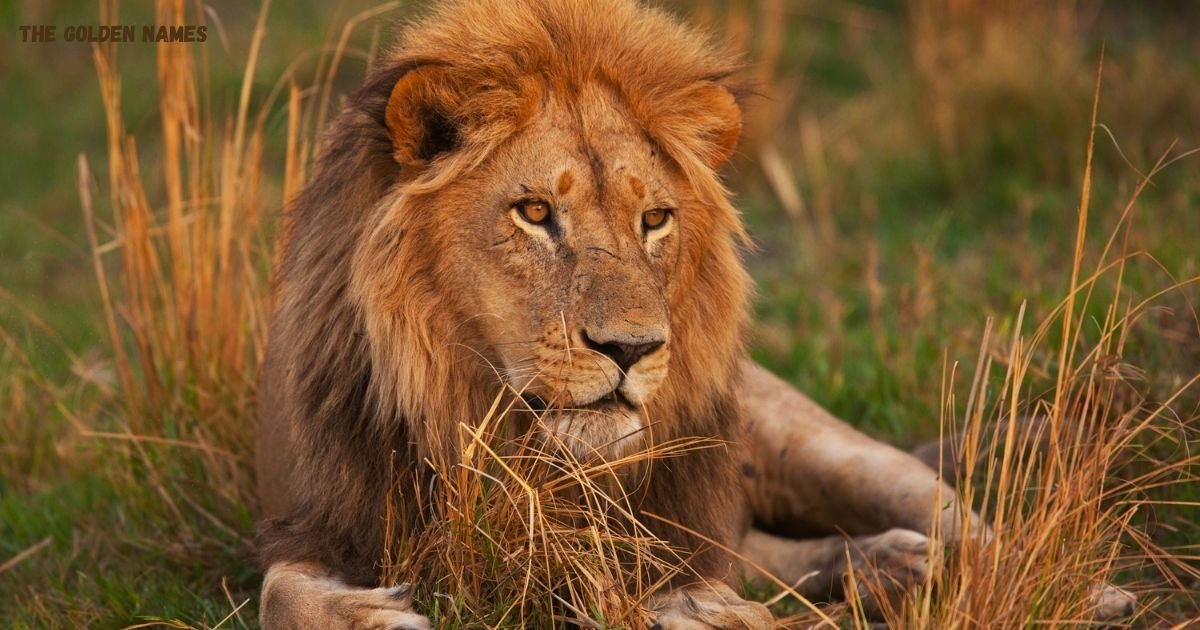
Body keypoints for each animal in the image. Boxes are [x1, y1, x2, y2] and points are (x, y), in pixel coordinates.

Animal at [254, 0, 1134, 627]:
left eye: (655, 220)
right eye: (534, 213)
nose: (633, 348)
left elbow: (691, 589)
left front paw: (709, 616)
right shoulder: (323, 517)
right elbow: (278, 593)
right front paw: (368, 615)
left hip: (824, 448)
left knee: (964, 522)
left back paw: (1063, 589)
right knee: (773, 553)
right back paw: (894, 570)